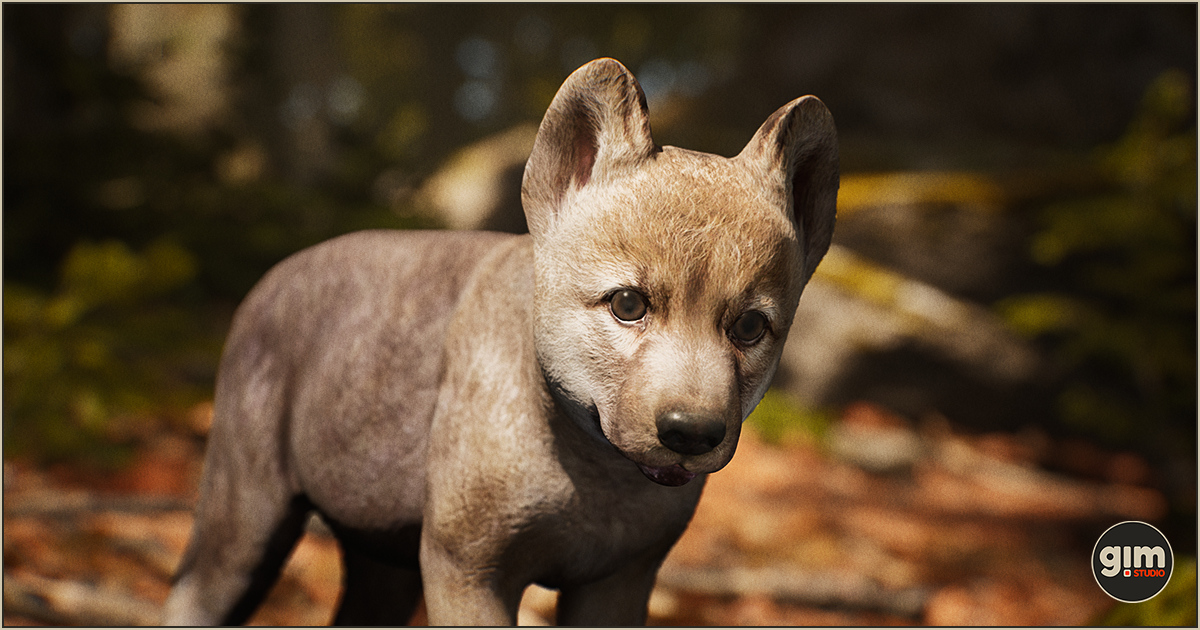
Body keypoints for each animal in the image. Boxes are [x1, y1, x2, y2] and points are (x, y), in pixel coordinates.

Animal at [162, 57, 838, 625]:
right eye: (627, 304)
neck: (596, 480)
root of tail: (272, 275)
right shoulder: (467, 568)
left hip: (380, 551)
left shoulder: (620, 581)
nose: (692, 433)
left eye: (750, 327)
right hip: (245, 515)